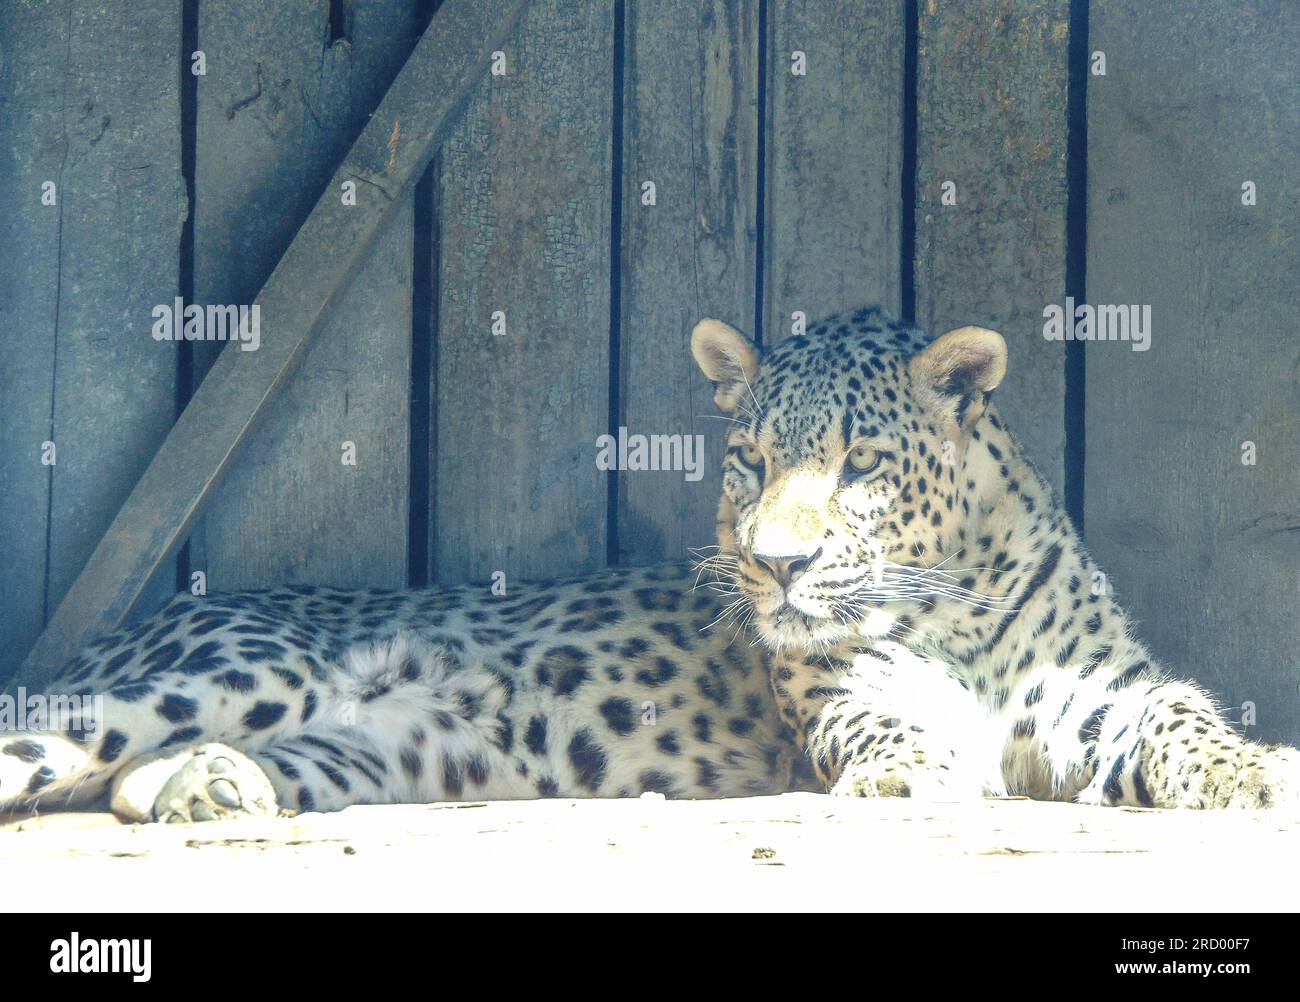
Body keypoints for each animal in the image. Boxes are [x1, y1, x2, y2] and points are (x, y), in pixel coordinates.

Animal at [2, 304, 1296, 822]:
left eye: (860, 466)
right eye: (750, 459)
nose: (777, 566)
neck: (962, 612)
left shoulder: (1092, 699)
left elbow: (1179, 715)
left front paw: (1253, 769)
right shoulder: (846, 694)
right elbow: (888, 726)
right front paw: (906, 778)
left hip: (376, 749)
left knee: (138, 779)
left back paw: (208, 791)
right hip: (229, 672)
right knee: (49, 740)